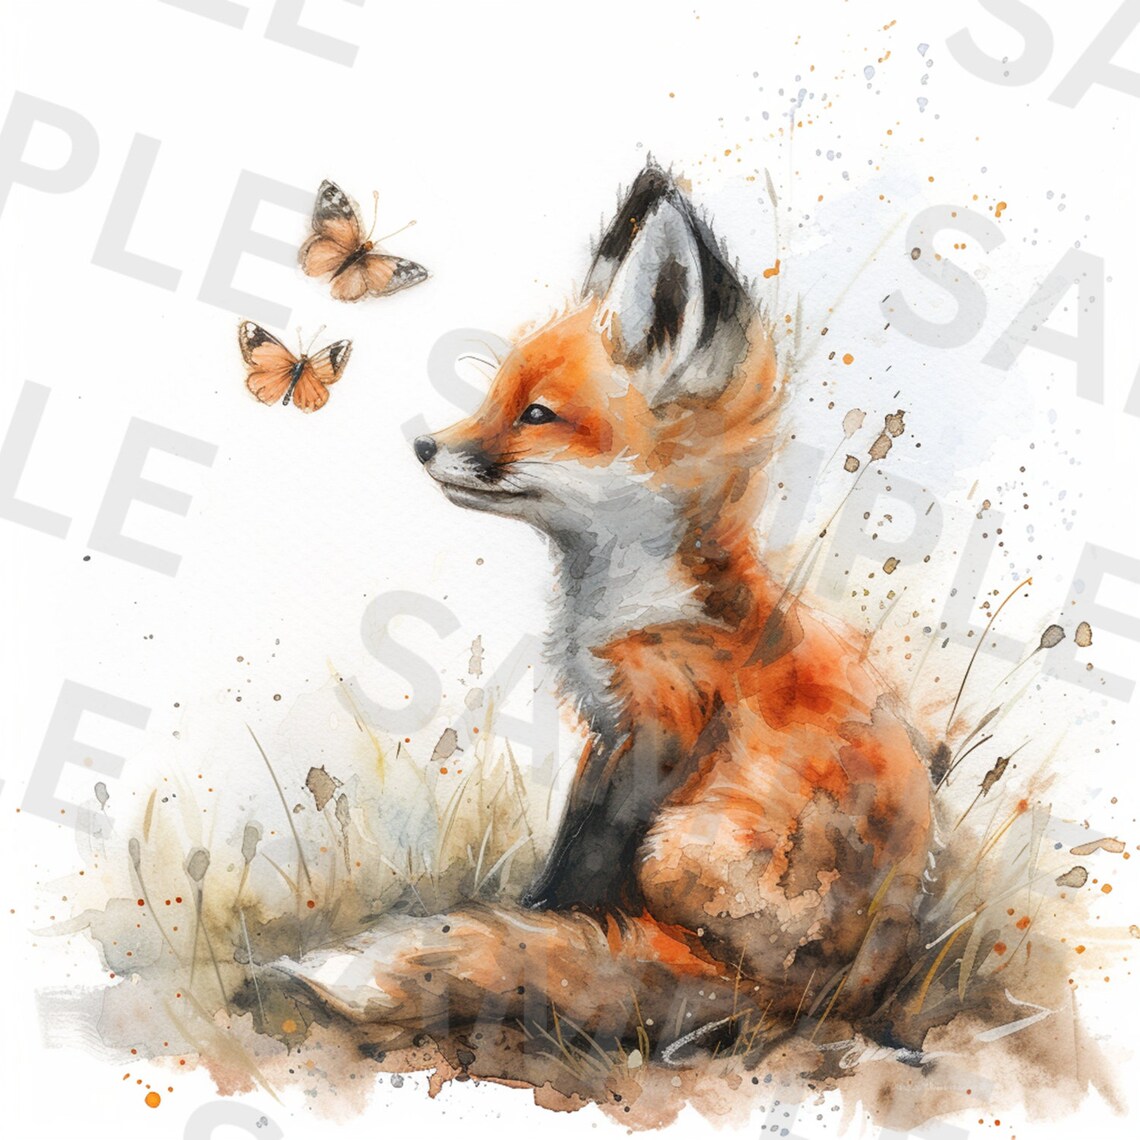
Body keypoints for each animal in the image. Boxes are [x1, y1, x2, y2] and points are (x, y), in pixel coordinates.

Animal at [278, 163, 934, 1060]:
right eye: (495, 396)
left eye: (537, 414)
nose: (425, 447)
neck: (619, 606)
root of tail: (827, 993)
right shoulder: (601, 730)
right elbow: (568, 862)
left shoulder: (655, 735)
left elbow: (579, 872)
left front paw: (541, 931)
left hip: (681, 845)